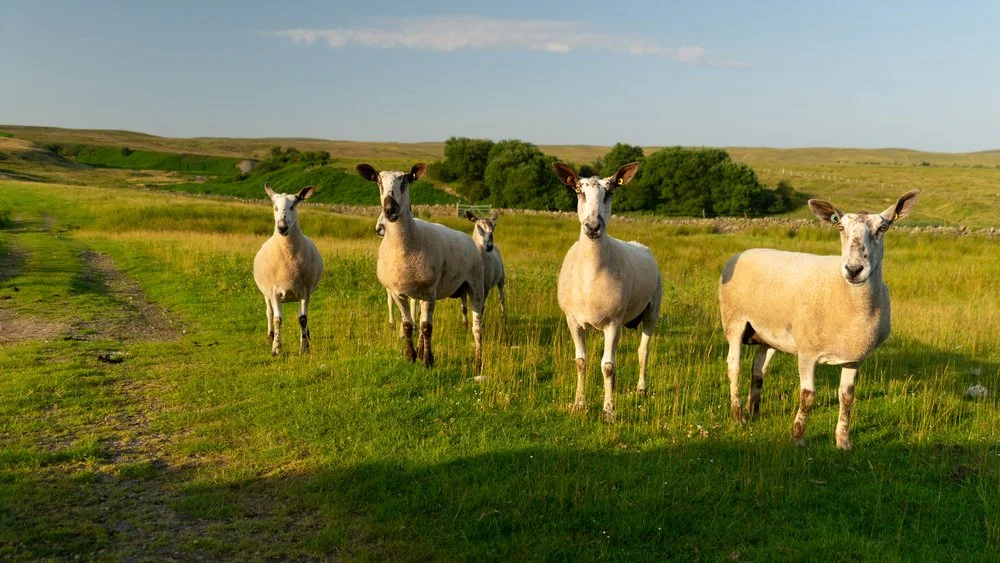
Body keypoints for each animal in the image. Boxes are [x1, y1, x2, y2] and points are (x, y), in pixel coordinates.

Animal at [253, 182, 324, 355]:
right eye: (274, 206)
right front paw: (276, 348)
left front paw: (304, 347)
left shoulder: (305, 291)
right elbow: (277, 319)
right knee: (269, 313)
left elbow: (303, 319)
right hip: (266, 293)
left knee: (304, 315)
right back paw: (270, 336)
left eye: (293, 205)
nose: (282, 227)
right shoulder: (274, 291)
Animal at [358, 163, 485, 373]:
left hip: (475, 285)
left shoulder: (429, 292)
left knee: (477, 327)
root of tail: (467, 238)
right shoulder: (398, 293)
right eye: (378, 181)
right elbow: (408, 325)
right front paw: (411, 357)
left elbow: (426, 327)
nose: (390, 209)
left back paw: (478, 362)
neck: (405, 245)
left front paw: (427, 362)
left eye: (406, 181)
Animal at [552, 162, 663, 422]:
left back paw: (641, 389)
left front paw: (609, 412)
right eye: (578, 190)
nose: (593, 227)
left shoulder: (613, 322)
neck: (591, 273)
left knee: (643, 351)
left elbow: (608, 367)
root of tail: (638, 244)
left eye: (610, 191)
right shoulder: (572, 320)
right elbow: (581, 362)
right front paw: (579, 404)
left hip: (652, 309)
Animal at [718, 190, 920, 449]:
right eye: (840, 227)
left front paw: (843, 441)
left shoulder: (854, 356)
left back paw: (753, 411)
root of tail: (743, 252)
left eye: (883, 228)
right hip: (734, 320)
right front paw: (798, 438)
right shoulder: (807, 352)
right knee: (734, 366)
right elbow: (807, 396)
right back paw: (738, 416)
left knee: (758, 368)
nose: (854, 269)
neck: (849, 301)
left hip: (768, 333)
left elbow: (847, 397)